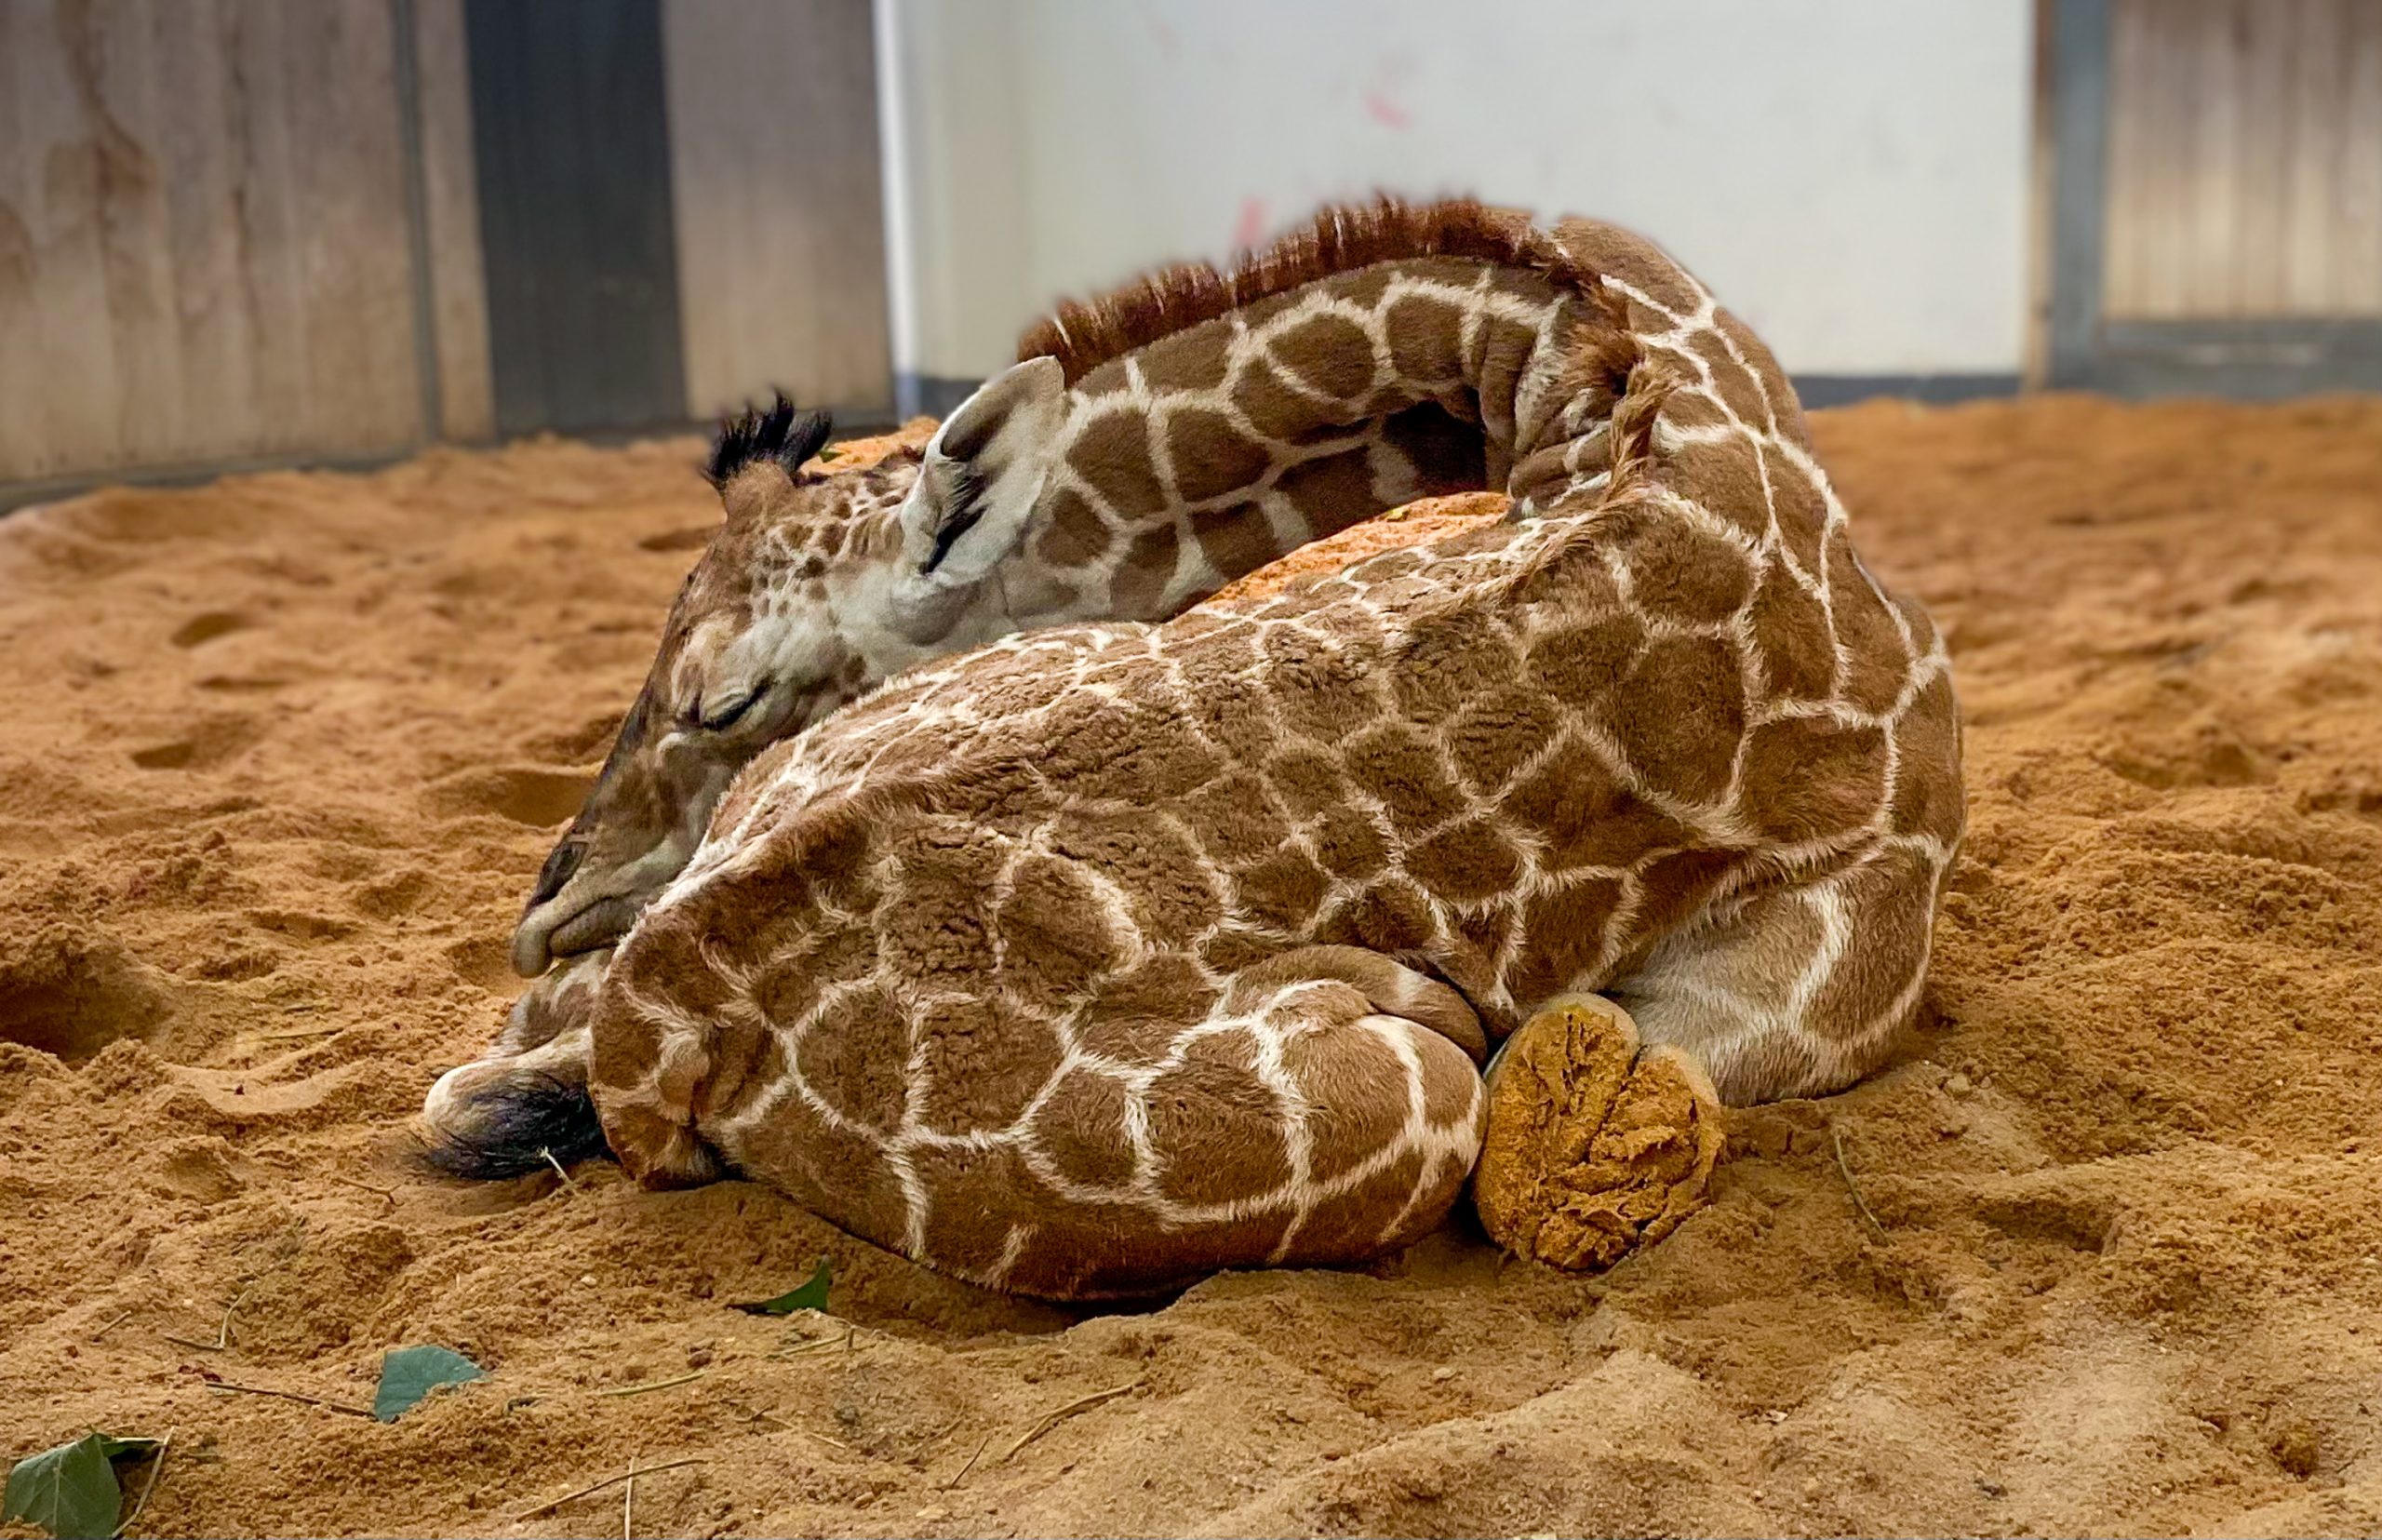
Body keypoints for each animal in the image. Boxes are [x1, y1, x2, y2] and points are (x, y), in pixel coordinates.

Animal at [425, 201, 1962, 1294]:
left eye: (719, 695)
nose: (547, 898)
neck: (1600, 392)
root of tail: (674, 1002)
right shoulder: (1832, 955)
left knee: (487, 1066)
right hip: (1403, 1102)